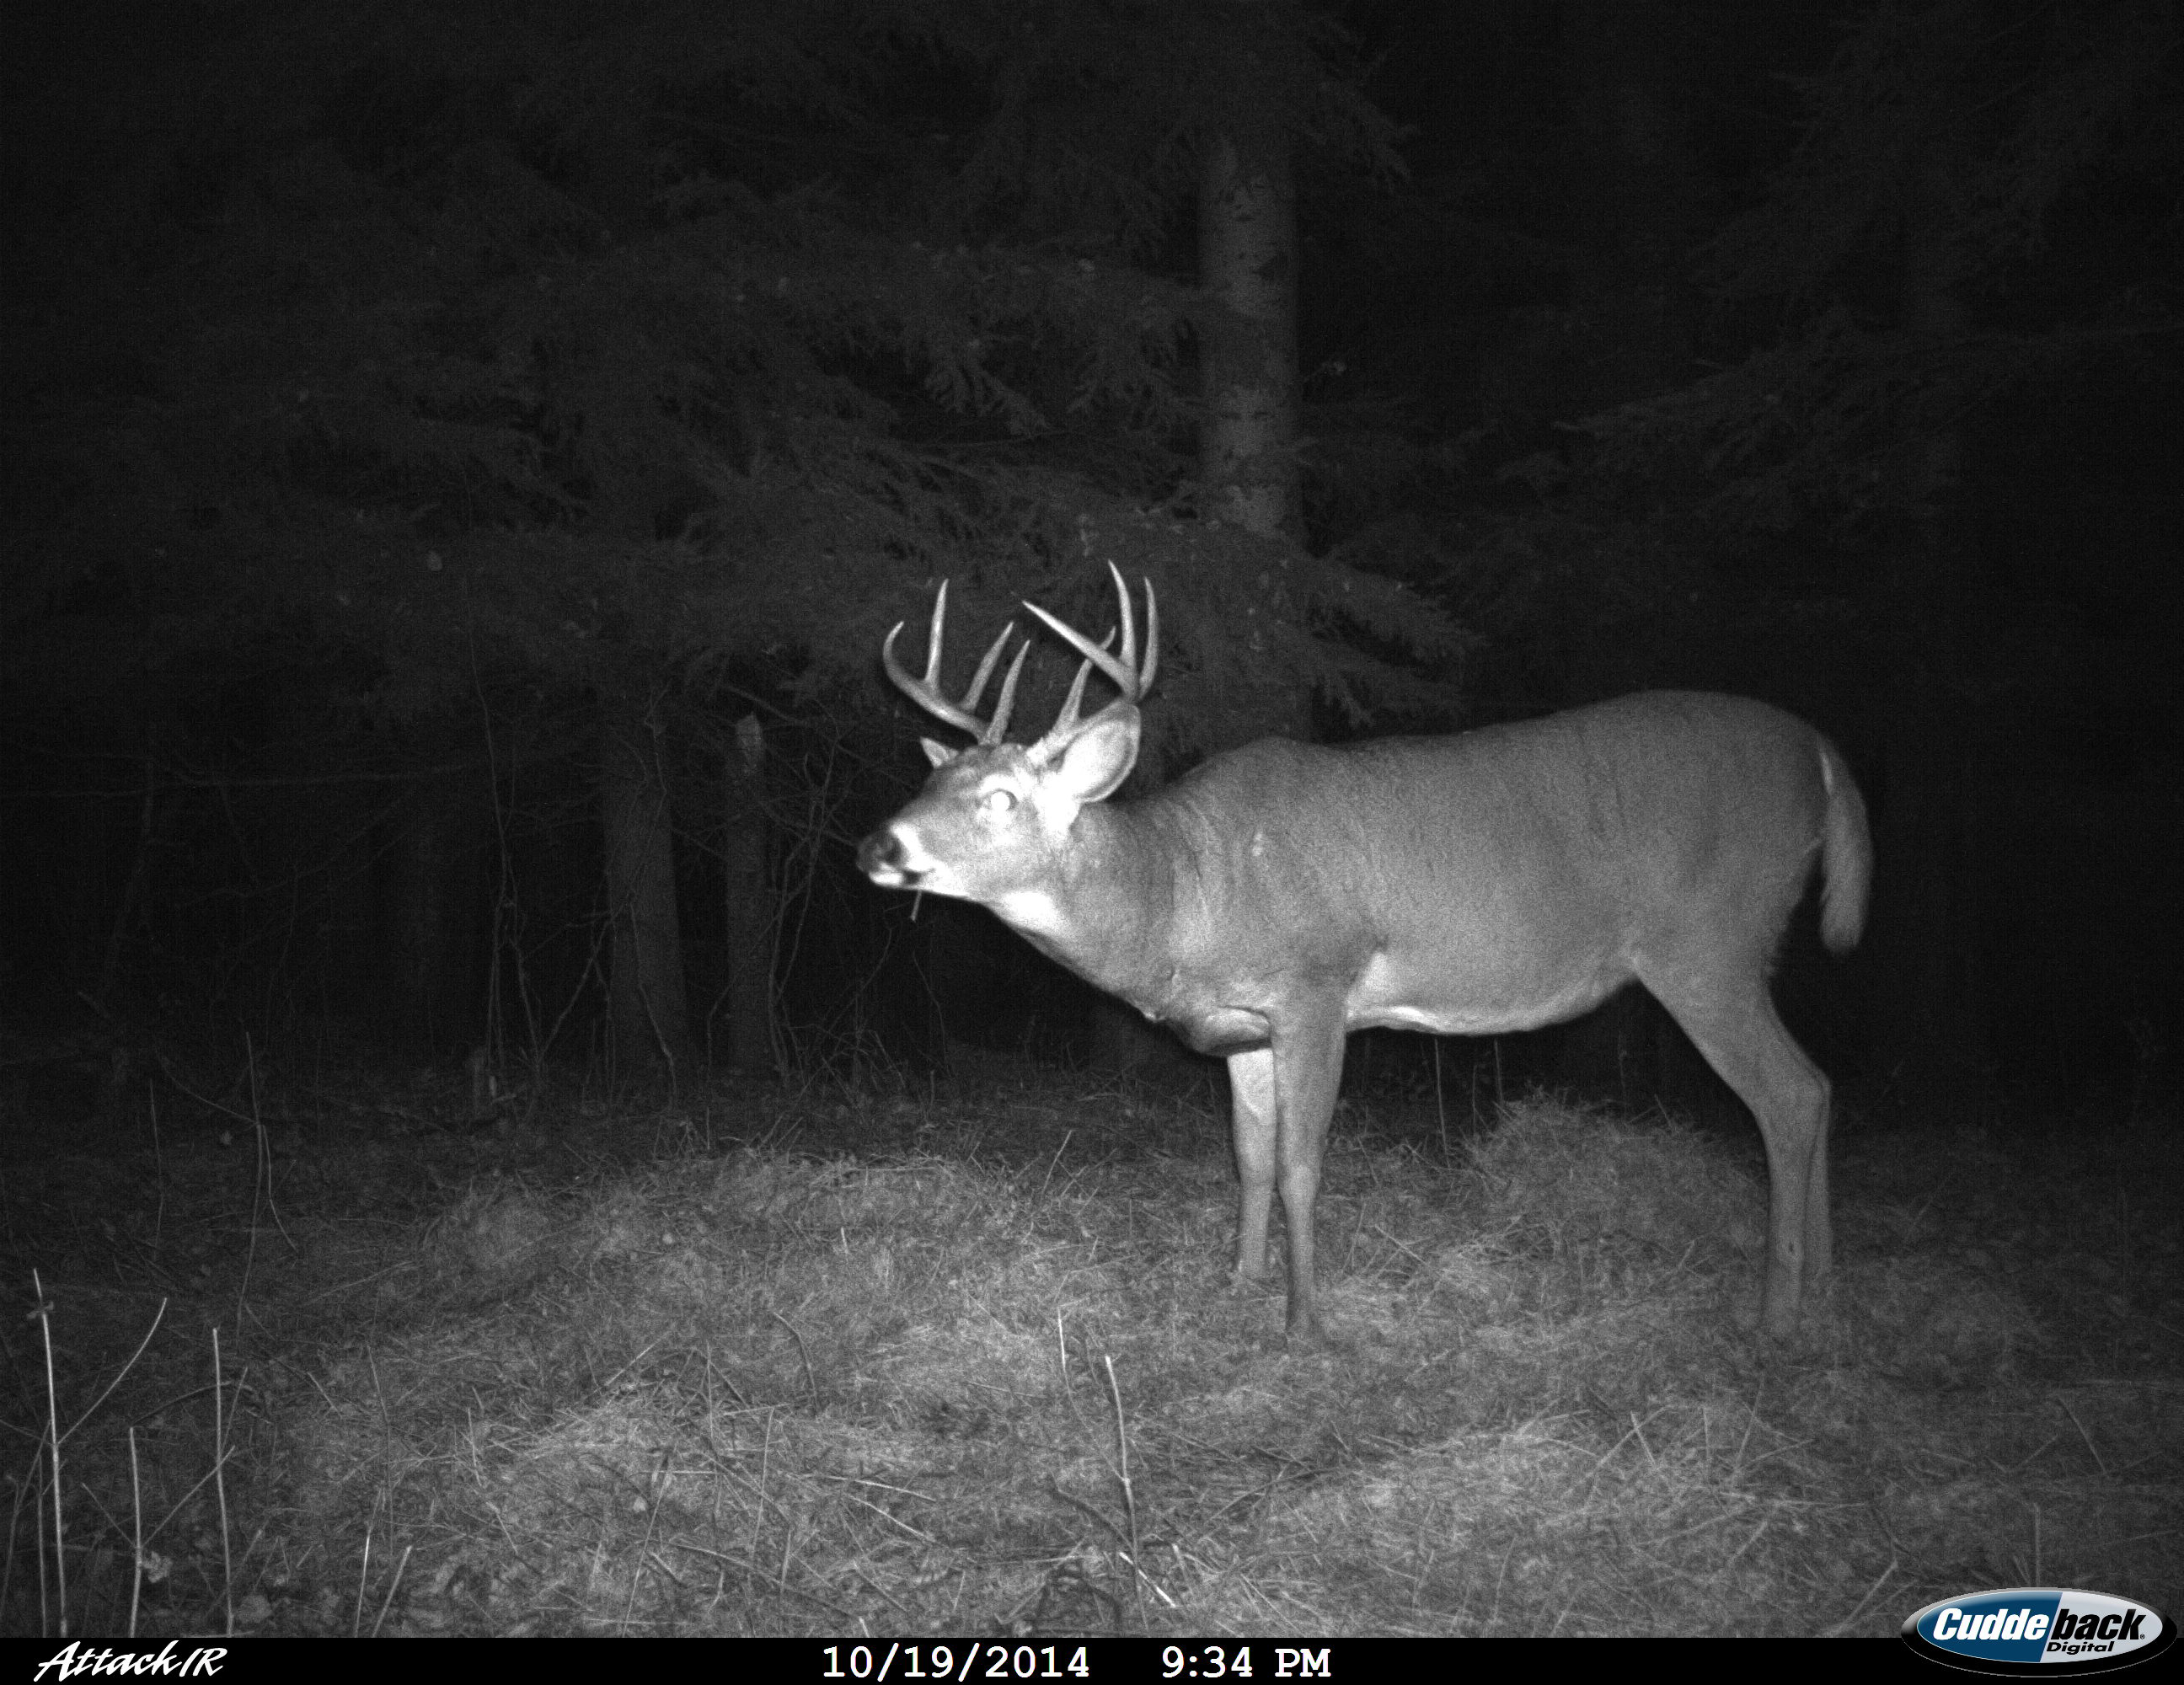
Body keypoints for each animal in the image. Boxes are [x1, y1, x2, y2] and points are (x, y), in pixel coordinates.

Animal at [859, 565, 1872, 1342]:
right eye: (928, 780)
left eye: (1000, 798)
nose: (878, 844)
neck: (1188, 896)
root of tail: (1824, 755)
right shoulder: (1246, 1027)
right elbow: (1250, 1158)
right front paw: (1239, 1283)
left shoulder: (1317, 986)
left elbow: (1302, 1164)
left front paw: (1305, 1324)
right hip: (1742, 947)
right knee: (1822, 1083)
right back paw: (1824, 1290)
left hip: (1707, 940)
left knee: (1787, 1094)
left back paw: (1776, 1312)